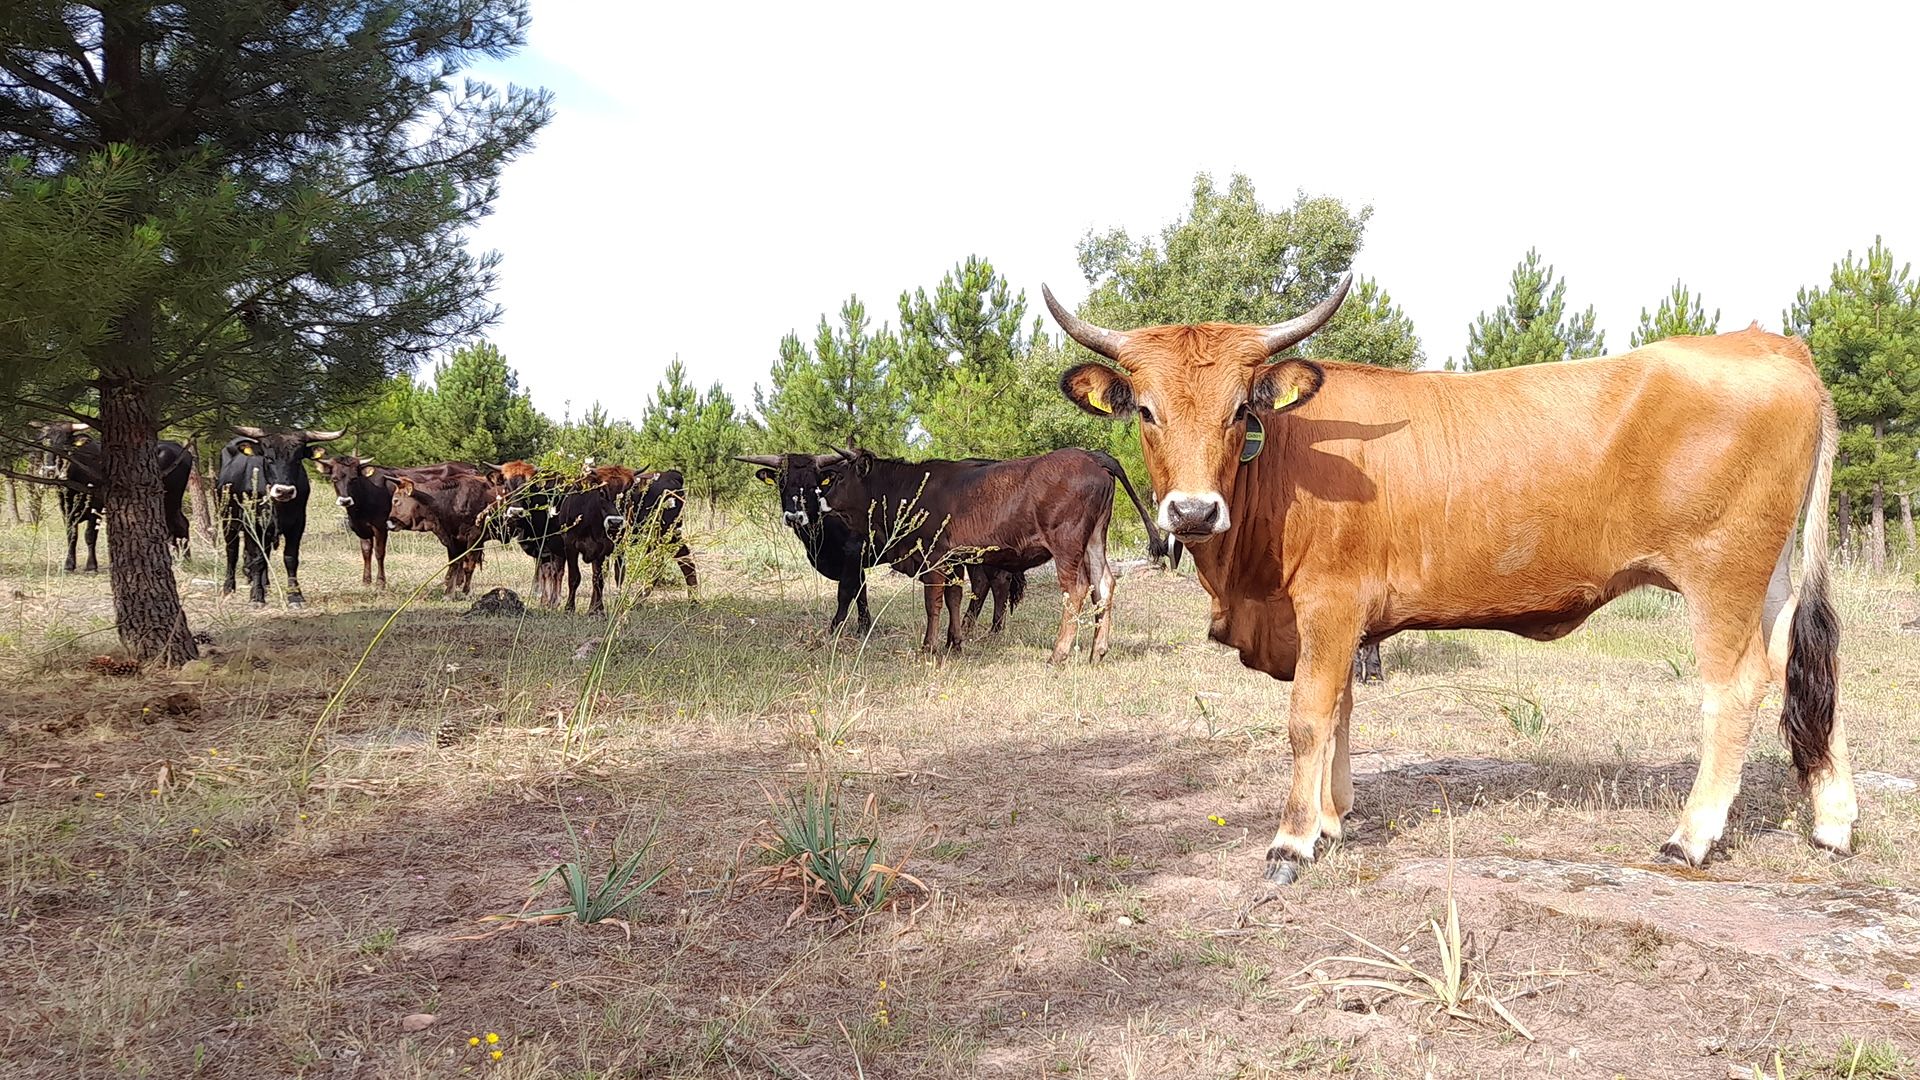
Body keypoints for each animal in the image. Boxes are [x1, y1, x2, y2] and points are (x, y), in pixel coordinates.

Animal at [32, 422, 193, 570]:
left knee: (179, 524)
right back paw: (181, 559)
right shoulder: (66, 508)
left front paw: (91, 565)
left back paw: (183, 560)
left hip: (171, 500)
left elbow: (90, 535)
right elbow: (72, 534)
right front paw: (69, 564)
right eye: (44, 444)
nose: (50, 470)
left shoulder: (96, 505)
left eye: (65, 445)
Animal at [217, 427, 342, 605]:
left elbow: (290, 558)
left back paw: (265, 584)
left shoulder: (298, 524)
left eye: (298, 459)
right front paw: (256, 596)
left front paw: (295, 595)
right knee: (232, 552)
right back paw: (229, 587)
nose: (284, 491)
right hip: (228, 520)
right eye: (268, 458)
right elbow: (257, 558)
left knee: (264, 553)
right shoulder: (253, 524)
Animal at [737, 453, 1026, 637]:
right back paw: (972, 627)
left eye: (814, 484)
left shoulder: (854, 551)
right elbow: (861, 590)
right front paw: (864, 626)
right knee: (984, 583)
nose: (794, 516)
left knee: (995, 582)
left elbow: (846, 591)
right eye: (782, 482)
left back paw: (992, 629)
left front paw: (835, 628)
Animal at [808, 448, 1167, 662]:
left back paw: (1058, 653)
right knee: (1104, 584)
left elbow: (933, 603)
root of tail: (1092, 456)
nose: (820, 499)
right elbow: (954, 598)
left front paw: (929, 647)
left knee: (1076, 590)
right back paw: (1097, 651)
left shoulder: (934, 557)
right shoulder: (955, 560)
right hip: (1094, 538)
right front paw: (955, 642)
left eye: (839, 477)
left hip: (1067, 540)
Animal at [1044, 273, 1849, 885]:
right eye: (1146, 411)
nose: (1192, 510)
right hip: (1772, 578)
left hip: (1723, 573)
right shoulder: (1339, 620)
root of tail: (1770, 342)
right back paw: (1833, 822)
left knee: (1736, 687)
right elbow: (1340, 712)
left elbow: (1309, 716)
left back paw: (1692, 837)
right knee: (1802, 666)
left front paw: (1293, 840)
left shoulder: (1329, 604)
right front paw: (1332, 820)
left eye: (1240, 410)